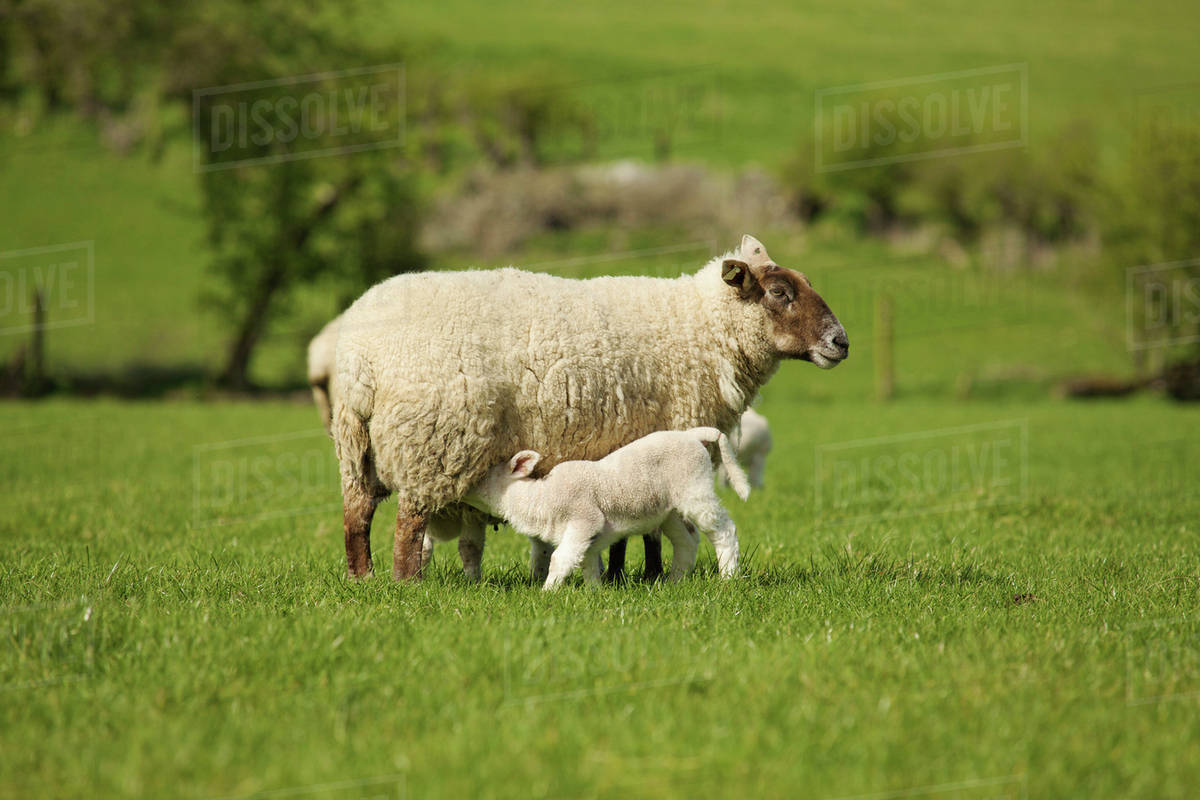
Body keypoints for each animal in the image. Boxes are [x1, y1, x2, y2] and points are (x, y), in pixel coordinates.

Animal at [465, 428, 751, 589]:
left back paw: (728, 578)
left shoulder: (584, 519)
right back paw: (674, 583)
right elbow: (587, 564)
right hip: (668, 509)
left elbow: (559, 560)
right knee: (686, 541)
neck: (540, 498)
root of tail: (691, 435)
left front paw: (547, 593)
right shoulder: (588, 537)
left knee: (725, 530)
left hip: (696, 489)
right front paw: (595, 593)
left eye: (481, 475)